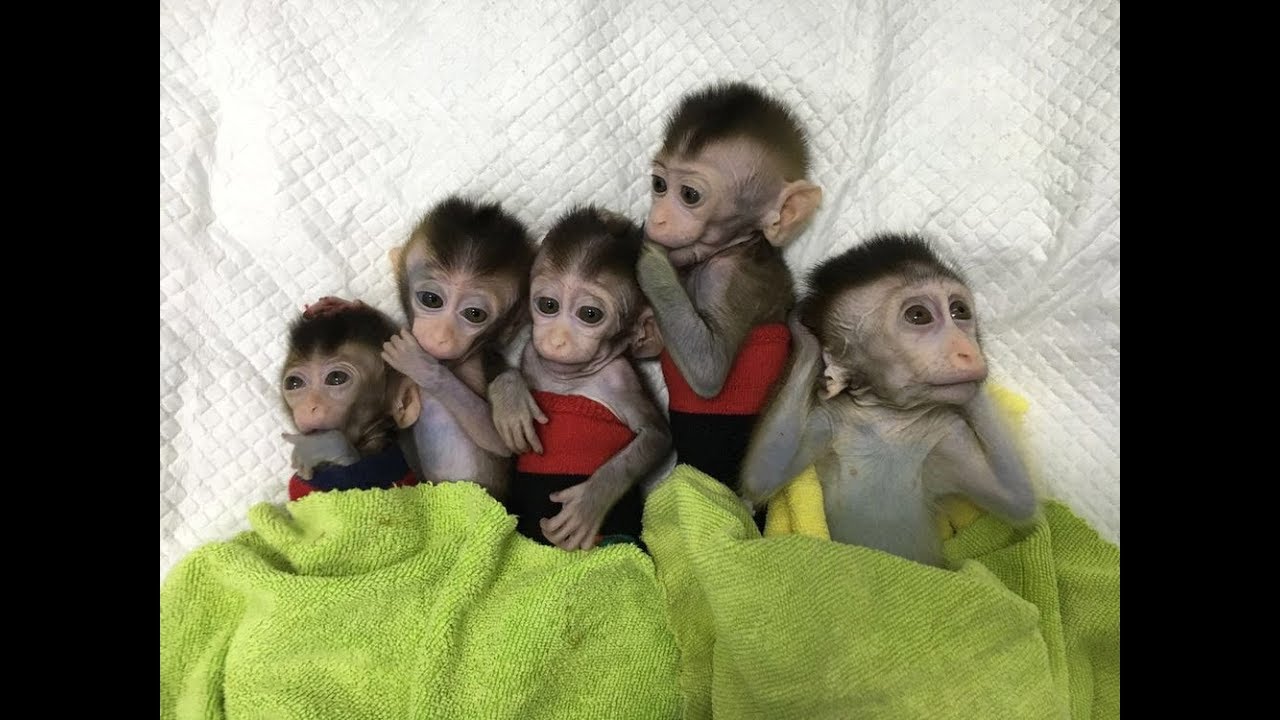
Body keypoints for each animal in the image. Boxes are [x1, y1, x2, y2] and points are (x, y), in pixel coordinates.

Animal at [490, 205, 669, 551]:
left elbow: (655, 435)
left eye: (590, 314)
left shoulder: (622, 379)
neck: (570, 380)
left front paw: (591, 501)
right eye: (548, 305)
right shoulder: (532, 354)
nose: (557, 339)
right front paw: (512, 401)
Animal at [635, 81, 824, 495]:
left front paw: (649, 257)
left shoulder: (727, 279)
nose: (657, 219)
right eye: (659, 185)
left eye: (689, 195)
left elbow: (709, 369)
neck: (735, 244)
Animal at [738, 234, 1040, 567]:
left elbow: (1017, 498)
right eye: (918, 315)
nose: (968, 349)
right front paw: (803, 333)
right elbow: (763, 474)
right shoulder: (827, 419)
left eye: (960, 311)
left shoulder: (948, 433)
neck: (889, 419)